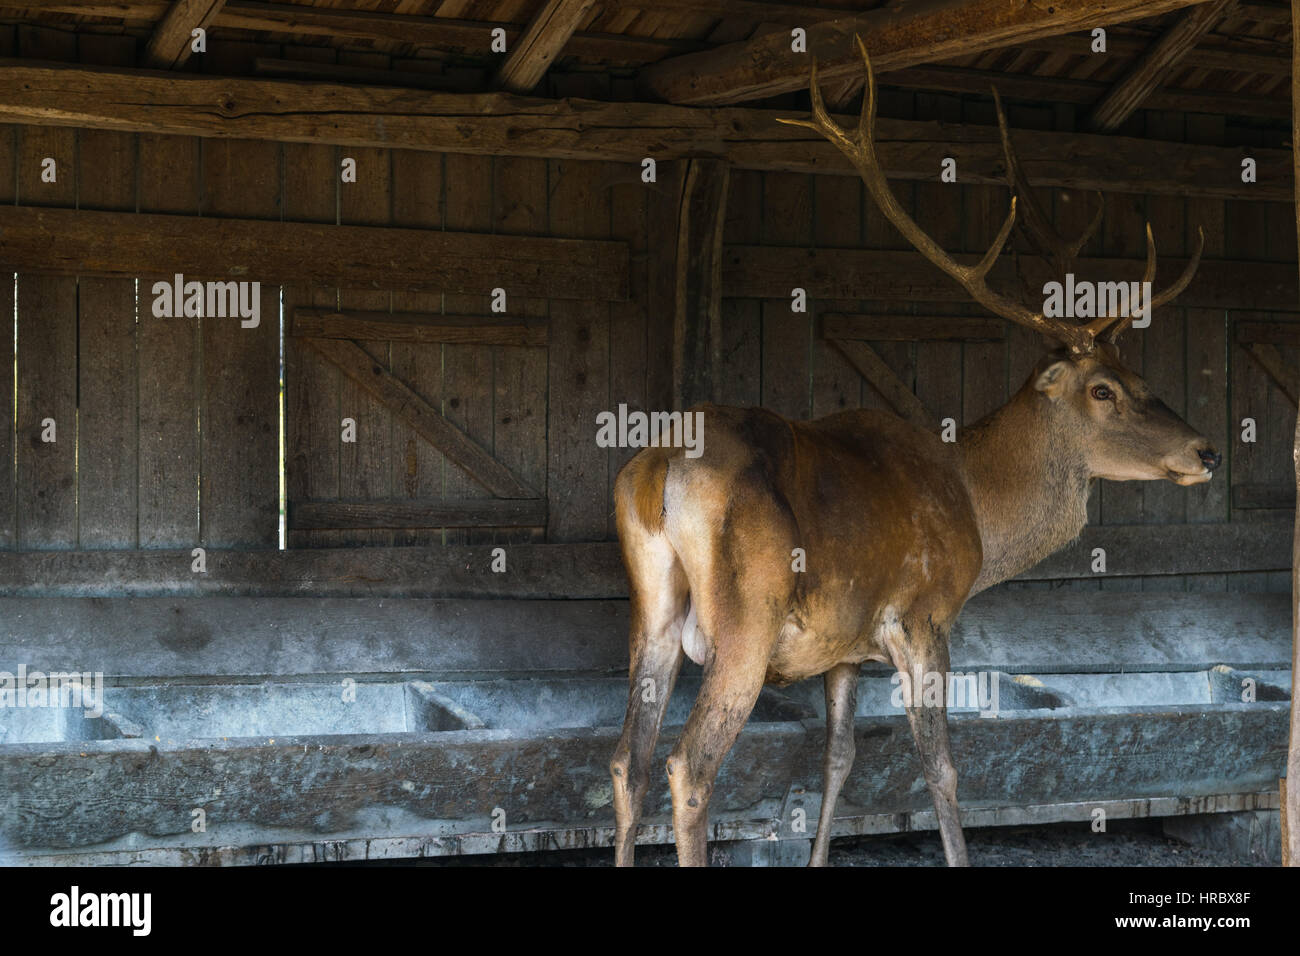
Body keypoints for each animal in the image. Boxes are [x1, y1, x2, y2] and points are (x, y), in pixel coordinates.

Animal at [609, 37, 1221, 868]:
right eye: (1104, 389)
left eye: (1143, 376)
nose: (1206, 450)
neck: (978, 512)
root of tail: (658, 473)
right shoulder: (925, 616)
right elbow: (941, 767)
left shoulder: (842, 649)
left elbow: (839, 760)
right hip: (747, 614)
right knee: (689, 765)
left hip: (653, 609)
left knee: (627, 762)